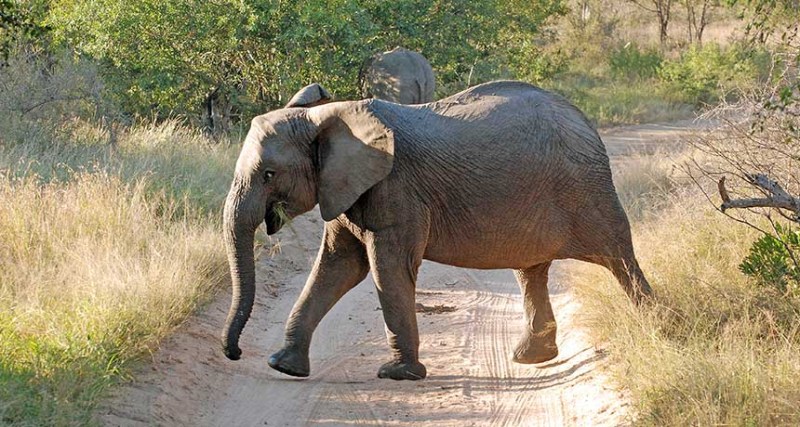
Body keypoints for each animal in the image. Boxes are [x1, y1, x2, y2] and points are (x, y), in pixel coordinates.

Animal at [220, 80, 653, 381]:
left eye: (269, 174)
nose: (234, 353)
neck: (327, 116)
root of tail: (585, 121)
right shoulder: (344, 190)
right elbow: (337, 268)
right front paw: (284, 367)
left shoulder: (397, 189)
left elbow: (386, 268)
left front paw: (397, 375)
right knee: (531, 270)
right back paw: (531, 358)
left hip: (586, 188)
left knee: (618, 256)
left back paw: (656, 325)